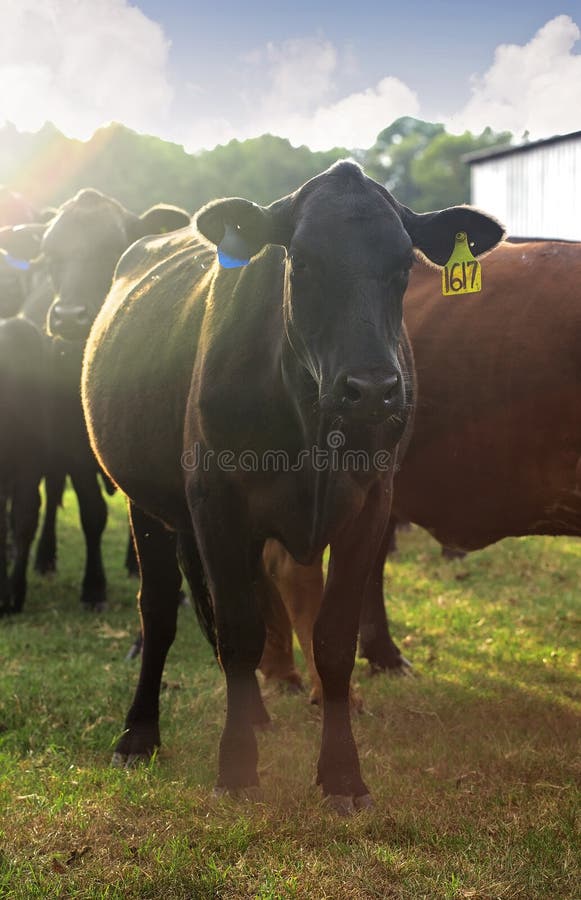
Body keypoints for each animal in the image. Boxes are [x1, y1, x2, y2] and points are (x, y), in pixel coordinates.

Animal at [23, 190, 190, 607]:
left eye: (113, 251)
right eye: (50, 254)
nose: (69, 317)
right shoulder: (70, 444)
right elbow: (92, 511)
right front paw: (94, 587)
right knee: (53, 491)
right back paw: (45, 558)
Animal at [81, 161, 503, 809]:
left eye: (404, 266)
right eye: (300, 262)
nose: (373, 389)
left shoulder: (370, 505)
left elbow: (331, 639)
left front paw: (343, 774)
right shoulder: (218, 499)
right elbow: (237, 631)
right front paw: (235, 769)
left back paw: (253, 713)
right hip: (147, 501)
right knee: (161, 611)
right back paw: (139, 733)